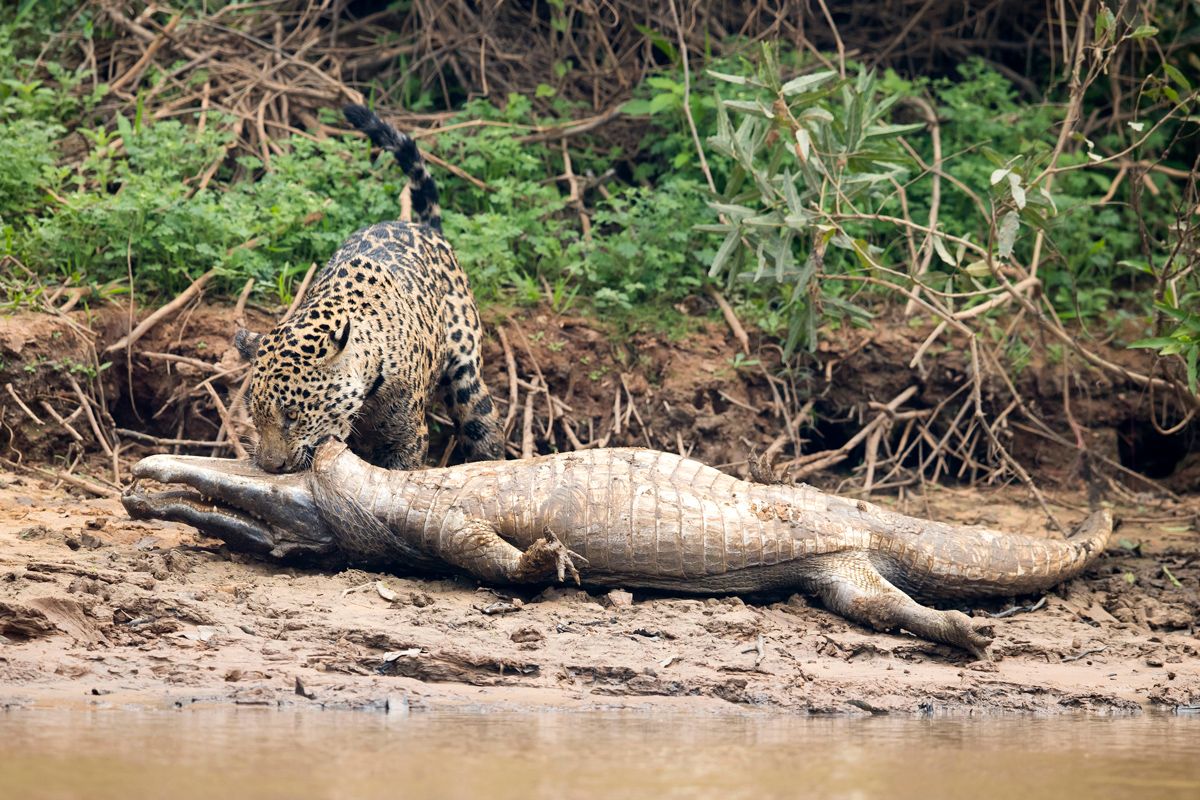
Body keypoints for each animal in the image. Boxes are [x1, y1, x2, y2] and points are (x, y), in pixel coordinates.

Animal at [233, 104, 504, 473]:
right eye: (255, 414)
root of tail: (424, 227)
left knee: (483, 422)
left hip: (467, 369)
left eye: (291, 414)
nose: (270, 465)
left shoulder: (410, 438)